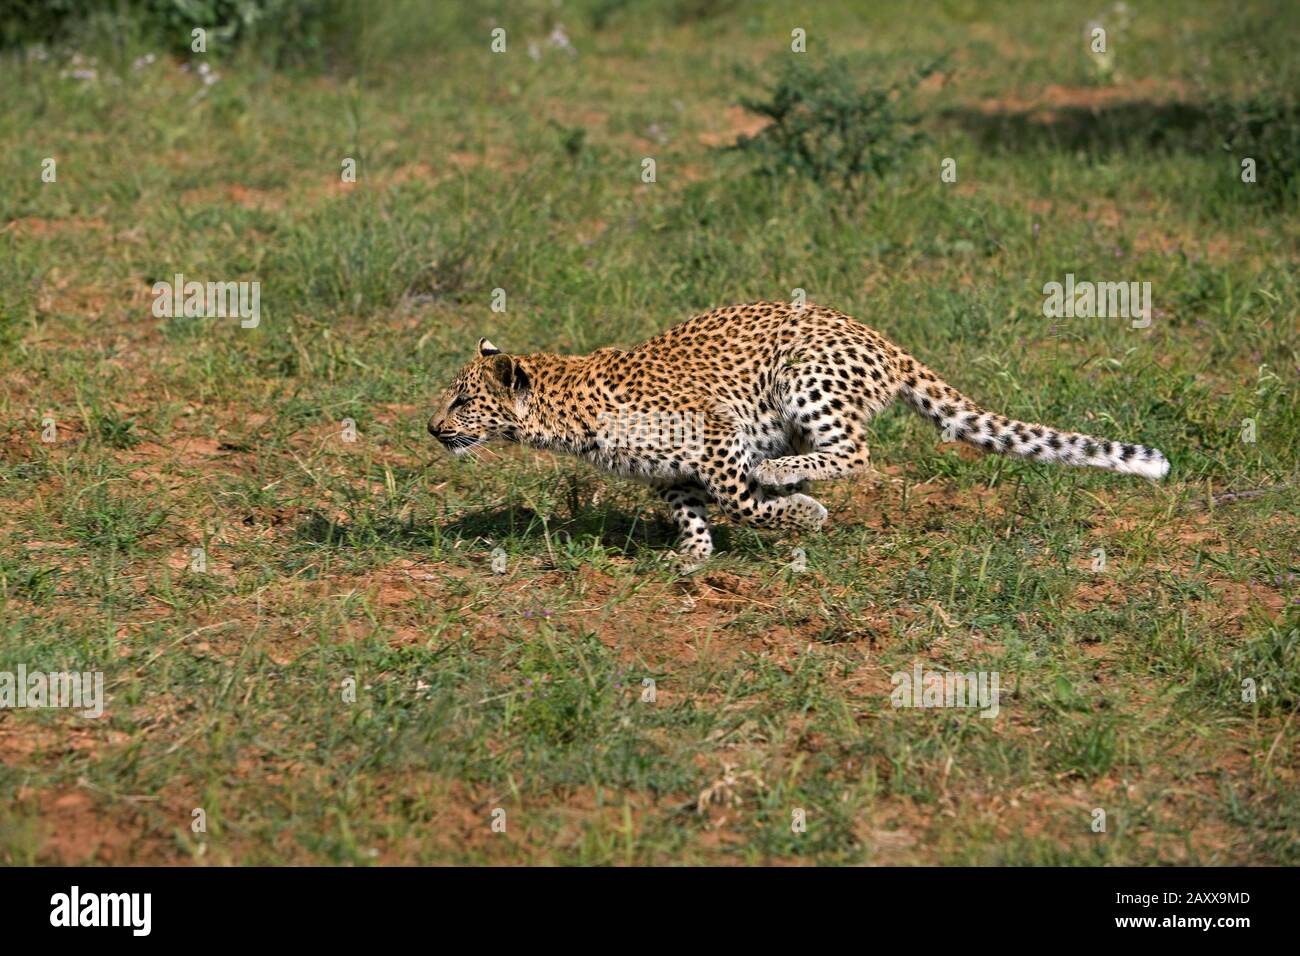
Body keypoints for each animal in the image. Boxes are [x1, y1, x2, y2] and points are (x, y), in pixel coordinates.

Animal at [427, 301, 1170, 571]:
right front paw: (692, 557)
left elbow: (741, 499)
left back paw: (792, 479)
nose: (432, 429)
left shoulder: (714, 435)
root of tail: (882, 340)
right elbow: (695, 510)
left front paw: (800, 515)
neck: (565, 412)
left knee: (857, 453)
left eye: (462, 399)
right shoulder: (671, 472)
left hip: (805, 378)